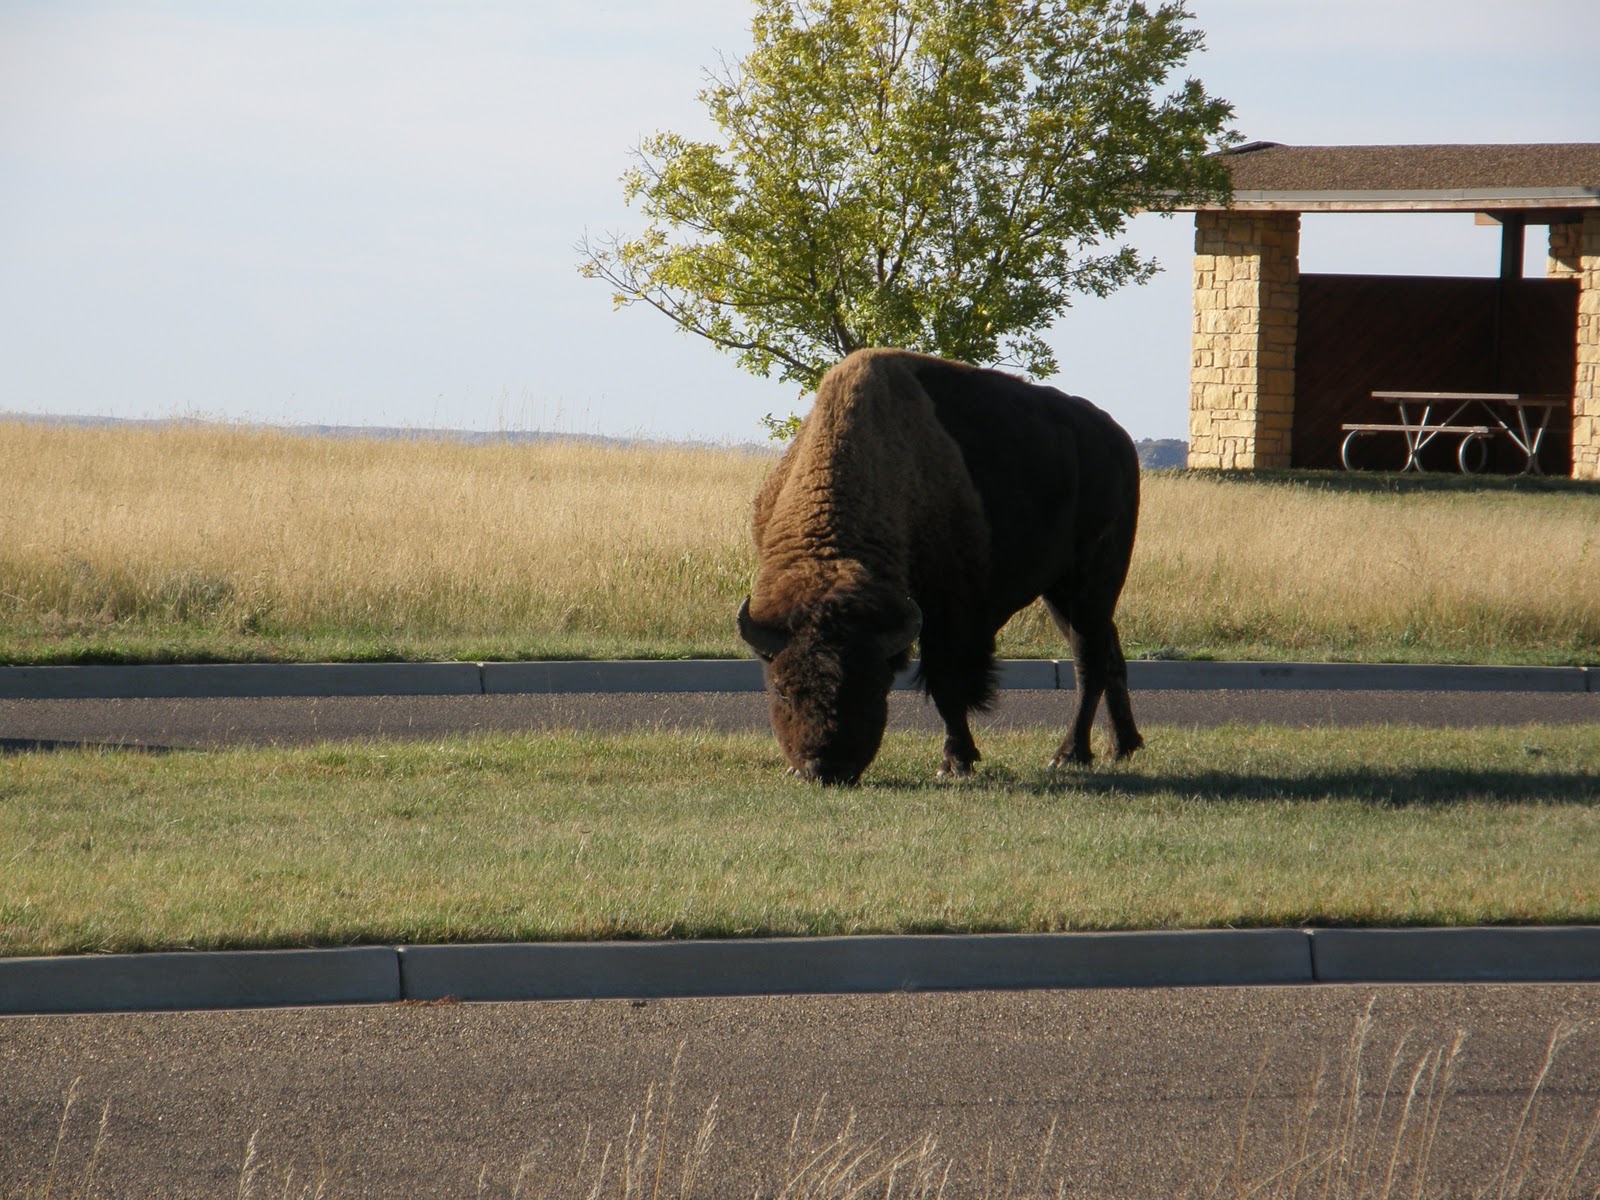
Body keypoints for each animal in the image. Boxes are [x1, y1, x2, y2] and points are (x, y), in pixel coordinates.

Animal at [737, 348, 1143, 784]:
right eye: (781, 689)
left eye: (873, 685)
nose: (825, 768)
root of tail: (1118, 440)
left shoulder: (947, 612)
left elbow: (946, 687)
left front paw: (955, 762)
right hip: (1061, 594)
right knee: (1109, 653)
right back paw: (1122, 747)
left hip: (1092, 582)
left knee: (1088, 661)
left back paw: (1069, 755)